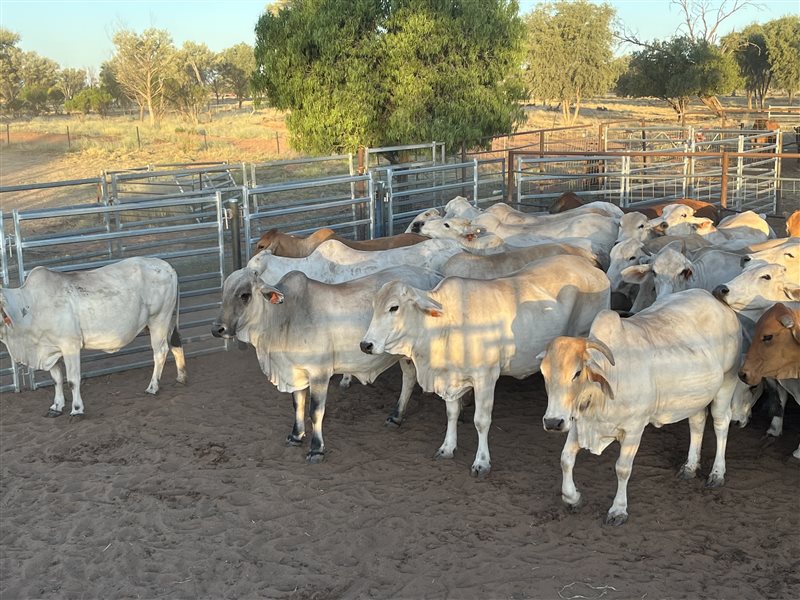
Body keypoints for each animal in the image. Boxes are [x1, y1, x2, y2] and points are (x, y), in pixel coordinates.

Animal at [0, 257, 187, 417]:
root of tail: (168, 267)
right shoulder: (51, 348)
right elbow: (57, 379)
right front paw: (56, 406)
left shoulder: (70, 345)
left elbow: (72, 380)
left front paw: (76, 409)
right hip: (165, 321)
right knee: (175, 343)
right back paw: (181, 377)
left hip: (159, 319)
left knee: (160, 351)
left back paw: (153, 387)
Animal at [211, 265, 442, 462]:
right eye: (223, 293)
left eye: (245, 295)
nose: (217, 329)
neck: (285, 316)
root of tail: (432, 274)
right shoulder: (296, 372)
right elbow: (298, 404)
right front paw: (296, 435)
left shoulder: (319, 373)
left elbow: (315, 411)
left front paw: (316, 449)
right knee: (410, 377)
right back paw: (397, 416)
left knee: (410, 377)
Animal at [360, 254, 611, 477]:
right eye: (373, 305)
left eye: (394, 307)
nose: (366, 344)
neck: (445, 325)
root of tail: (592, 268)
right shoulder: (451, 379)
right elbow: (451, 413)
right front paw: (447, 447)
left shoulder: (486, 377)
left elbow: (481, 421)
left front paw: (481, 463)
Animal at [538, 289, 743, 525]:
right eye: (543, 373)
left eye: (577, 372)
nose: (552, 422)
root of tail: (718, 300)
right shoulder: (578, 422)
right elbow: (565, 459)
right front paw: (573, 498)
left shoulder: (634, 428)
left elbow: (622, 469)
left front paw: (618, 510)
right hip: (696, 395)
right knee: (697, 422)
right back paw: (690, 466)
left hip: (727, 381)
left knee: (721, 423)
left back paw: (717, 473)